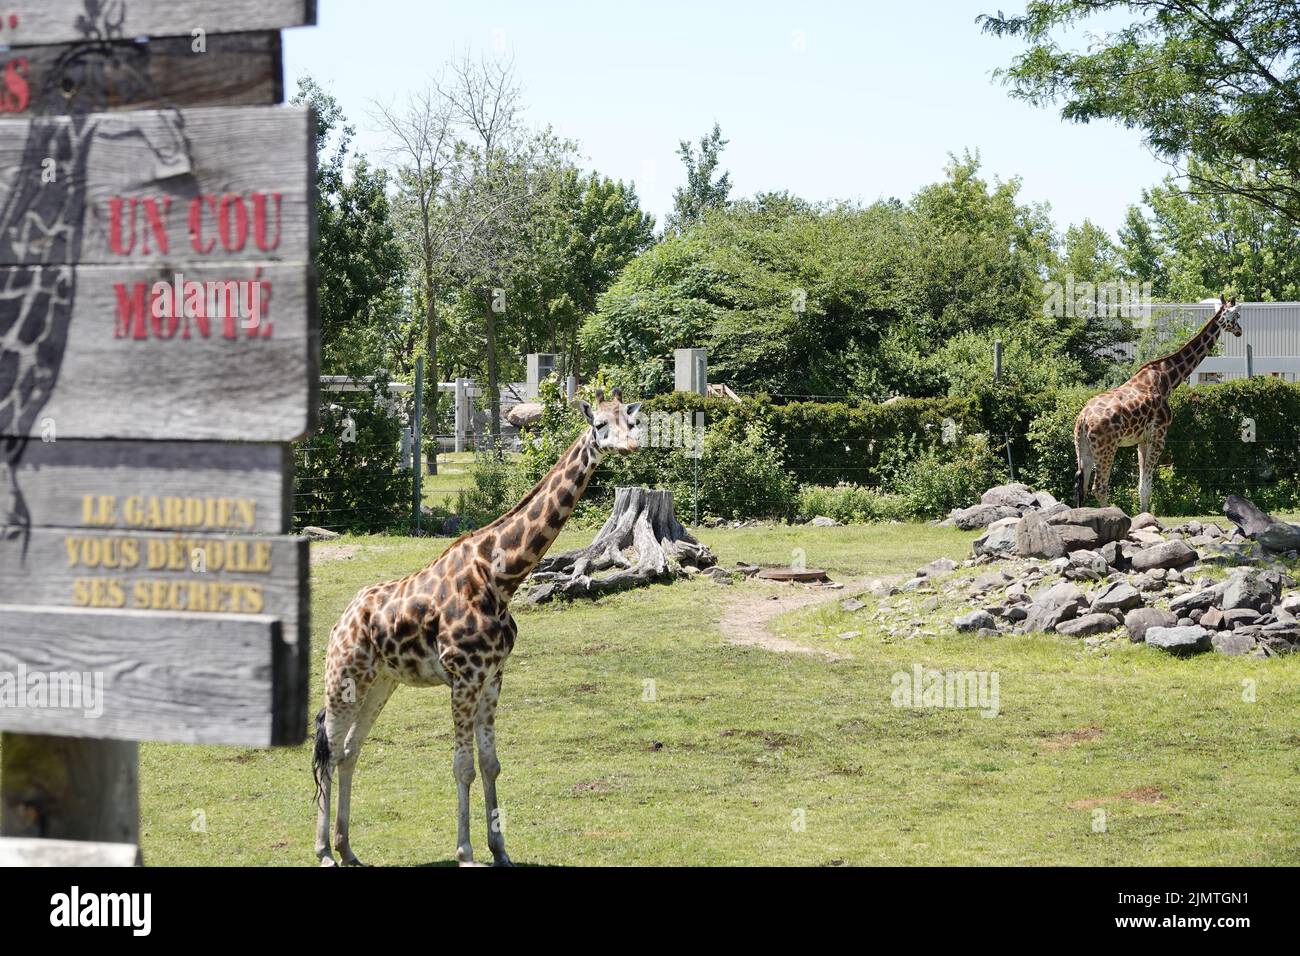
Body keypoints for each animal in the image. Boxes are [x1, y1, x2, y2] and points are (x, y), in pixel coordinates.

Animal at [313, 388, 642, 867]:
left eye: (631, 422)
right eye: (599, 424)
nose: (630, 446)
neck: (501, 575)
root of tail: (341, 621)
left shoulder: (493, 675)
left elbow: (490, 763)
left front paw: (500, 850)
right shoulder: (464, 676)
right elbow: (462, 766)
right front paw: (466, 851)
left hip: (381, 682)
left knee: (350, 749)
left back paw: (348, 849)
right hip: (344, 677)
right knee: (329, 746)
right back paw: (323, 850)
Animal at [1074, 296, 1242, 513]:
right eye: (1236, 316)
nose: (1239, 331)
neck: (1169, 379)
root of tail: (1083, 419)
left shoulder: (1142, 440)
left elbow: (1141, 486)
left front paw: (1143, 515)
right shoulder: (1159, 436)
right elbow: (1147, 486)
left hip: (1083, 448)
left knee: (1082, 485)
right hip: (1106, 448)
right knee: (1099, 487)